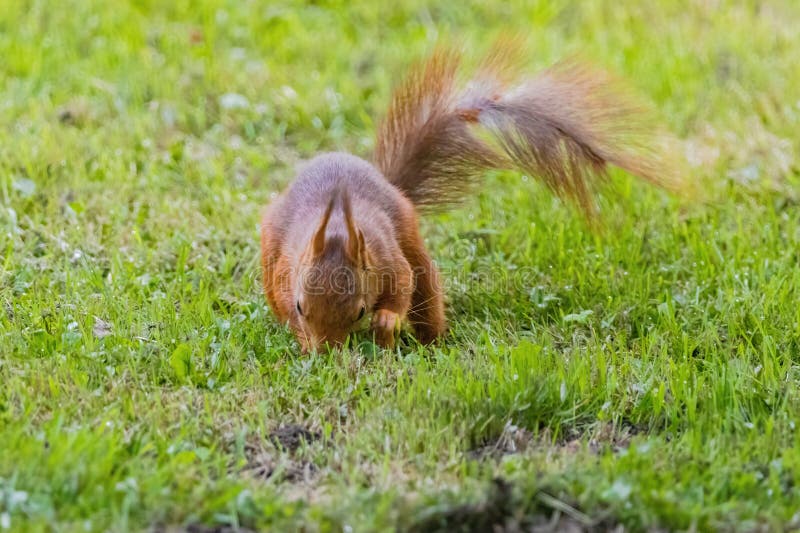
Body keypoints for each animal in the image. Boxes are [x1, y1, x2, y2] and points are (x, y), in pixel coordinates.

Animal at [260, 41, 680, 353]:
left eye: (360, 309)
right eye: (301, 306)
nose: (325, 353)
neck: (337, 230)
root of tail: (386, 181)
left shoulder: (387, 257)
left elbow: (402, 286)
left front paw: (387, 320)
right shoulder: (287, 270)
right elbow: (284, 301)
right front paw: (301, 338)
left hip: (411, 241)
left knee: (425, 291)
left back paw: (428, 343)